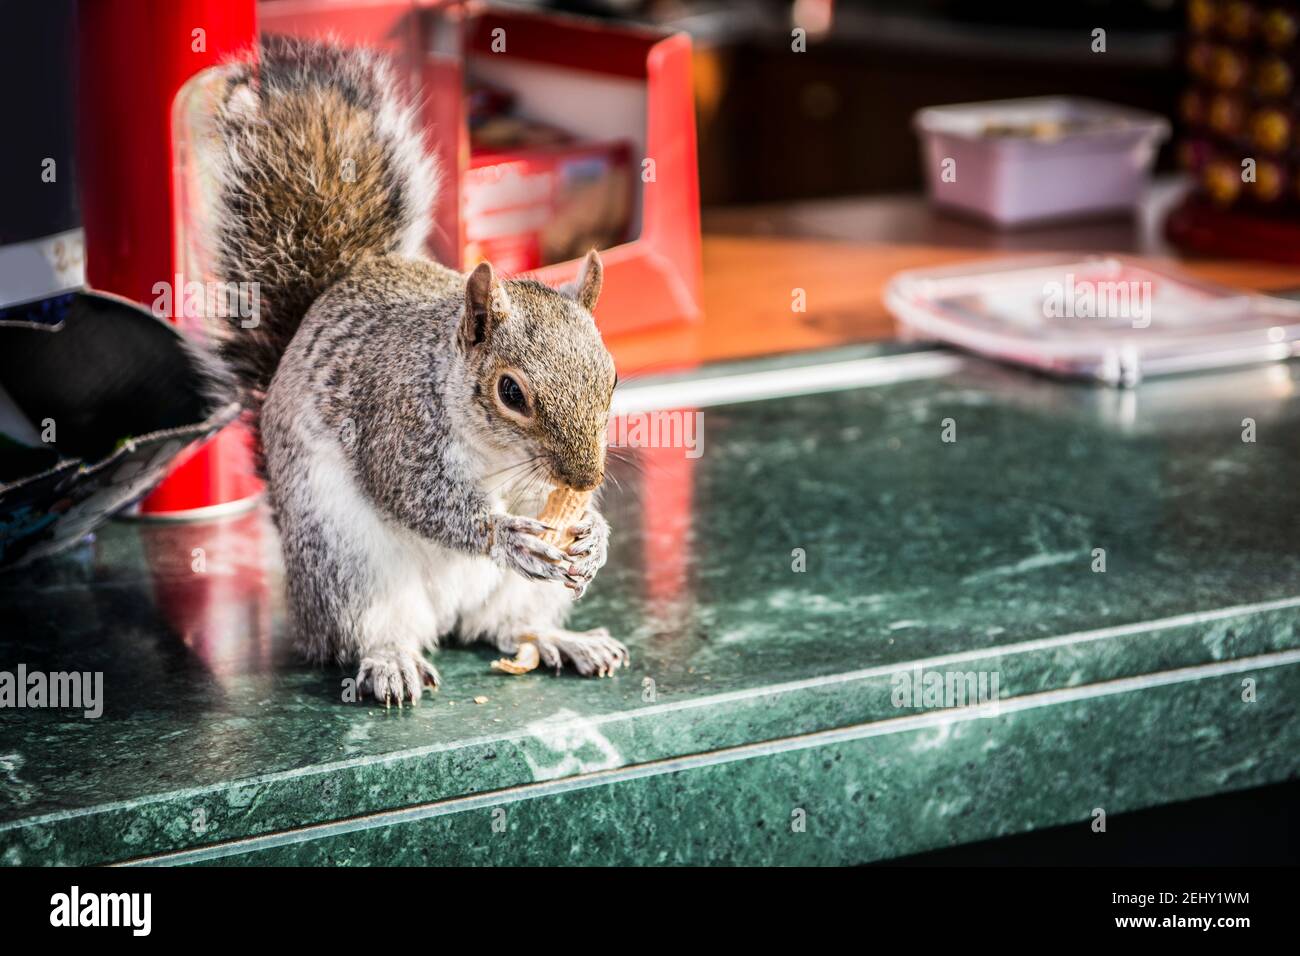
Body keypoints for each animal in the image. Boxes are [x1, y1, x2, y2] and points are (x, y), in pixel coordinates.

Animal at [202, 37, 627, 704]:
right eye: (511, 392)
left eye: (613, 379)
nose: (585, 479)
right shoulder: (395, 423)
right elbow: (417, 496)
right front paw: (501, 534)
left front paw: (596, 533)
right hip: (346, 562)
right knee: (368, 632)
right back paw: (391, 661)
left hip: (513, 594)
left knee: (506, 629)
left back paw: (565, 640)